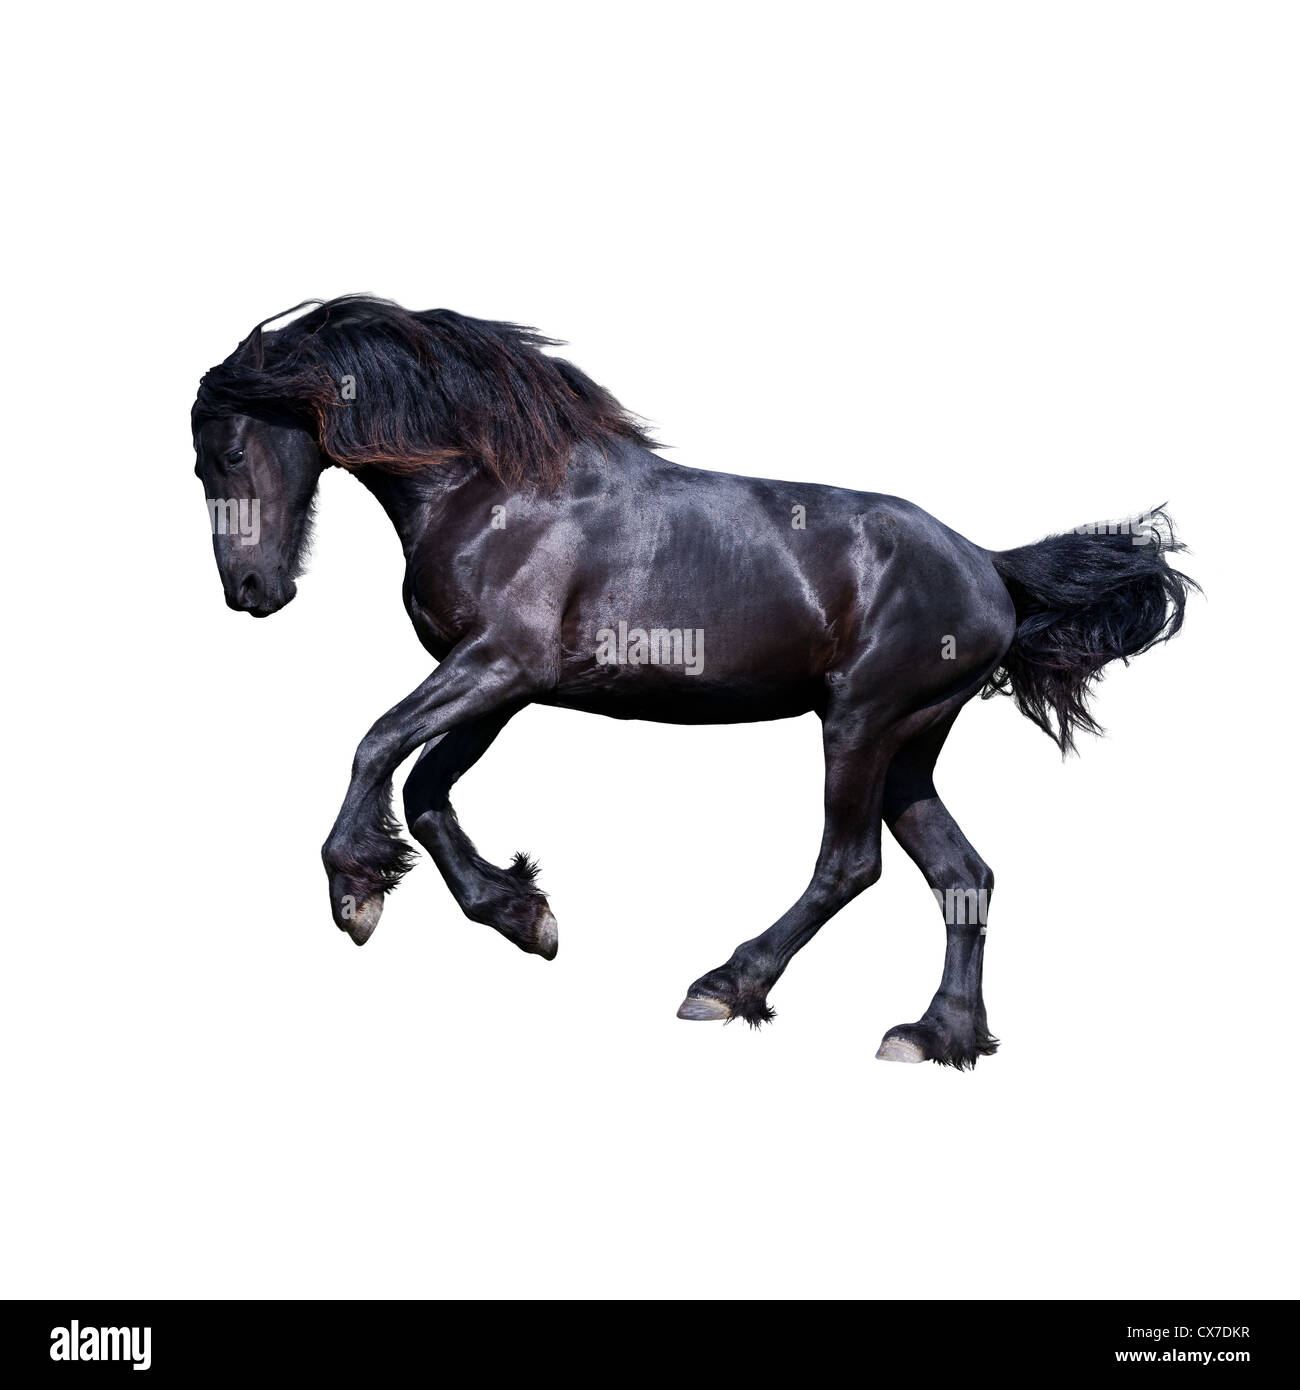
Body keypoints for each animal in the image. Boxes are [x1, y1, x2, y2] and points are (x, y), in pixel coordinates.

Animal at [192, 296, 1194, 1067]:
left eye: (228, 455)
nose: (252, 593)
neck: (491, 491)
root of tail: (991, 568)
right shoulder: (505, 686)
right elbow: (428, 792)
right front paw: (523, 914)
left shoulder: (501, 663)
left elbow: (376, 746)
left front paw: (355, 893)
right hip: (912, 743)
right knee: (963, 874)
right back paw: (934, 1036)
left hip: (862, 723)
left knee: (851, 863)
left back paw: (726, 985)